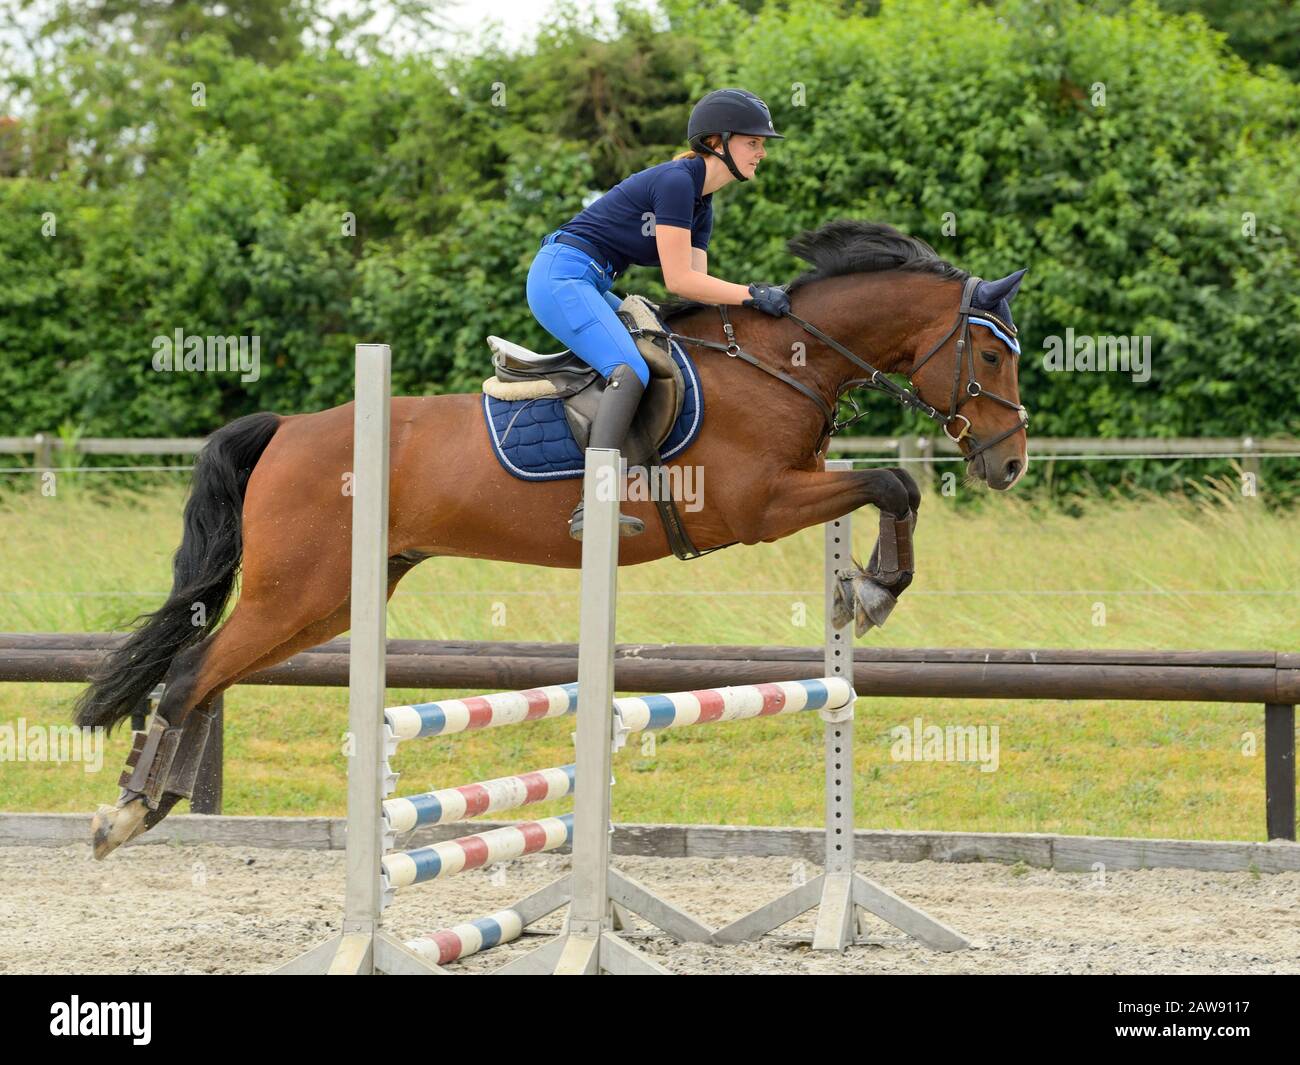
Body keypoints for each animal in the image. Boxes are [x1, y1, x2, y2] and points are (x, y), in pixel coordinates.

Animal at [76, 220, 1030, 858]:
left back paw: (149, 804)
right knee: (193, 672)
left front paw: (862, 587)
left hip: (333, 598)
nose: (1010, 462)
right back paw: (125, 812)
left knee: (204, 675)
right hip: (298, 590)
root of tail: (286, 430)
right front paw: (874, 588)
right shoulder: (756, 506)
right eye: (990, 359)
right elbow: (896, 482)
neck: (780, 363)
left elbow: (892, 486)